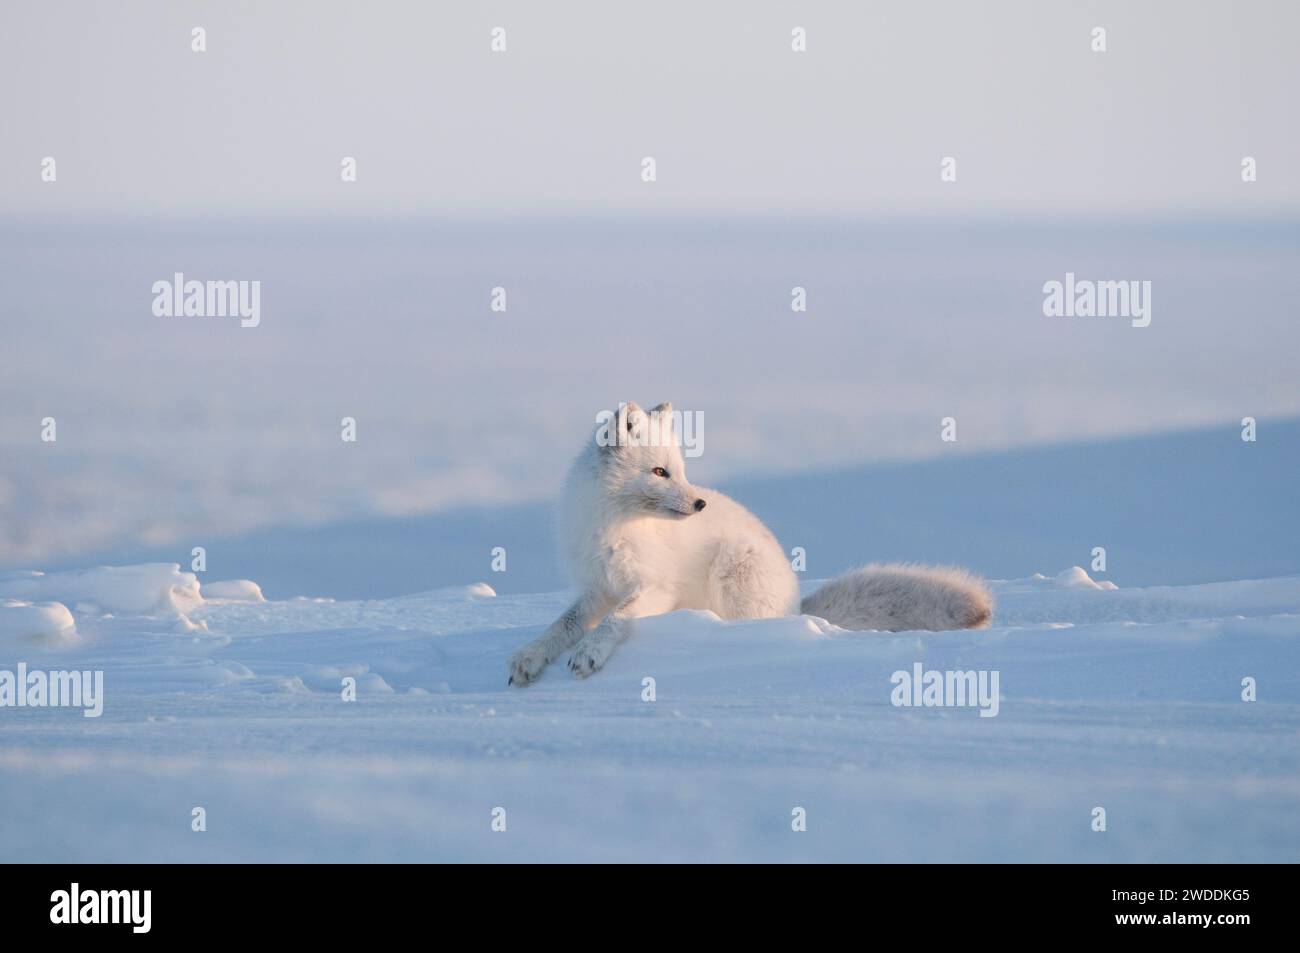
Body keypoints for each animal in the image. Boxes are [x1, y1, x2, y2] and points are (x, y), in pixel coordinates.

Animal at [507, 401, 993, 686]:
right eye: (660, 472)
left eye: (679, 470)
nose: (700, 503)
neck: (618, 524)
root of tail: (797, 605)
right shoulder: (597, 587)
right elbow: (562, 625)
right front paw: (529, 657)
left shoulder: (654, 588)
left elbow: (614, 621)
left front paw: (589, 654)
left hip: (732, 568)